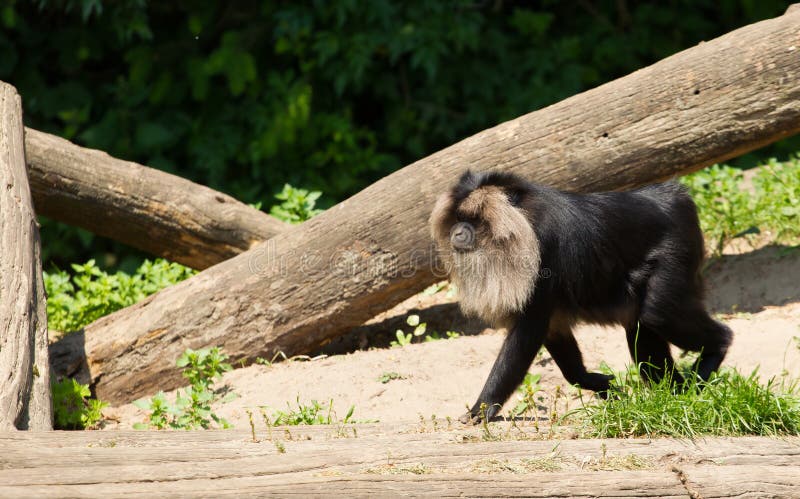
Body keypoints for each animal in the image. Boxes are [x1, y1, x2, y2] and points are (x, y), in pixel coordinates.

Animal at [430, 170, 732, 423]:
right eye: (457, 218)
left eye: (475, 220)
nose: (457, 232)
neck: (524, 222)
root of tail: (672, 196)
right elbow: (554, 333)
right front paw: (592, 381)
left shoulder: (545, 249)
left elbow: (529, 331)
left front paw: (482, 408)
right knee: (641, 326)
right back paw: (672, 396)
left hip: (677, 251)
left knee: (659, 313)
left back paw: (717, 349)